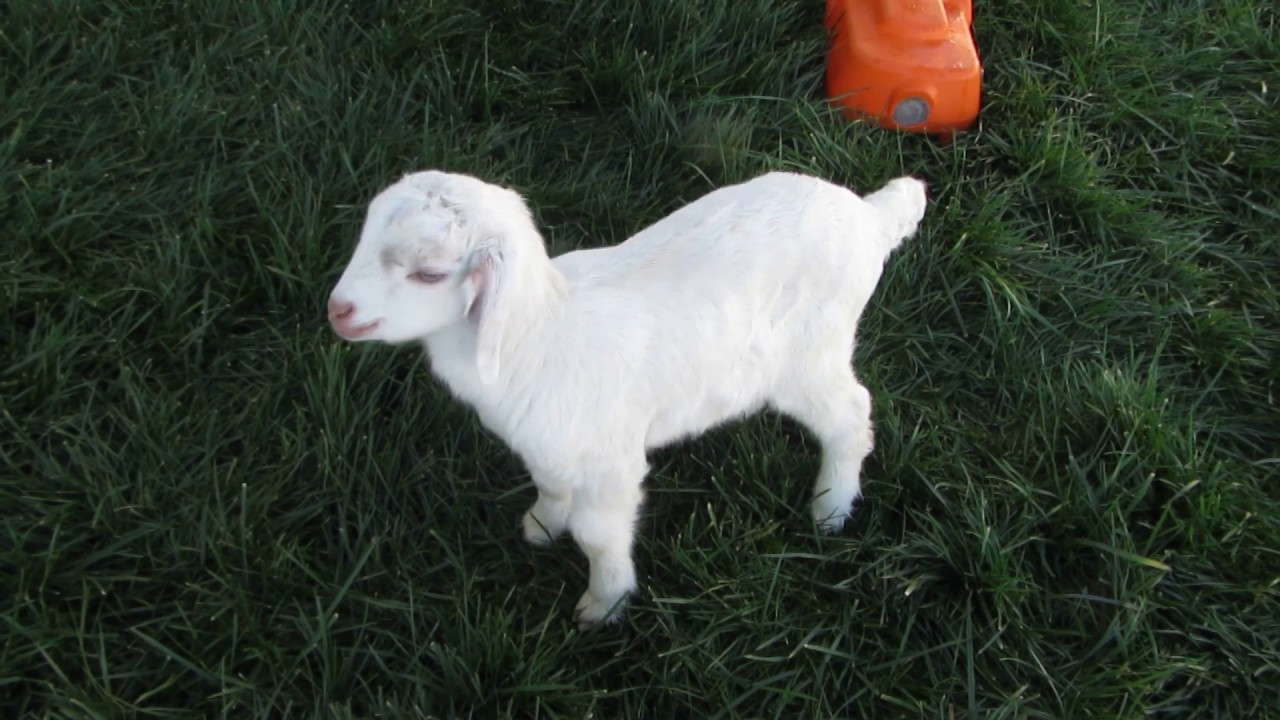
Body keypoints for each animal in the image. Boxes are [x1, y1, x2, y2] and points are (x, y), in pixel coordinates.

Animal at [327, 169, 927, 628]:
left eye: (429, 273)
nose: (338, 310)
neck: (539, 336)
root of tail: (870, 217)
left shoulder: (610, 466)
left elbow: (597, 536)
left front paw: (603, 604)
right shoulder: (549, 445)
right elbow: (549, 486)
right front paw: (541, 526)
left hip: (810, 357)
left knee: (851, 414)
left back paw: (831, 508)